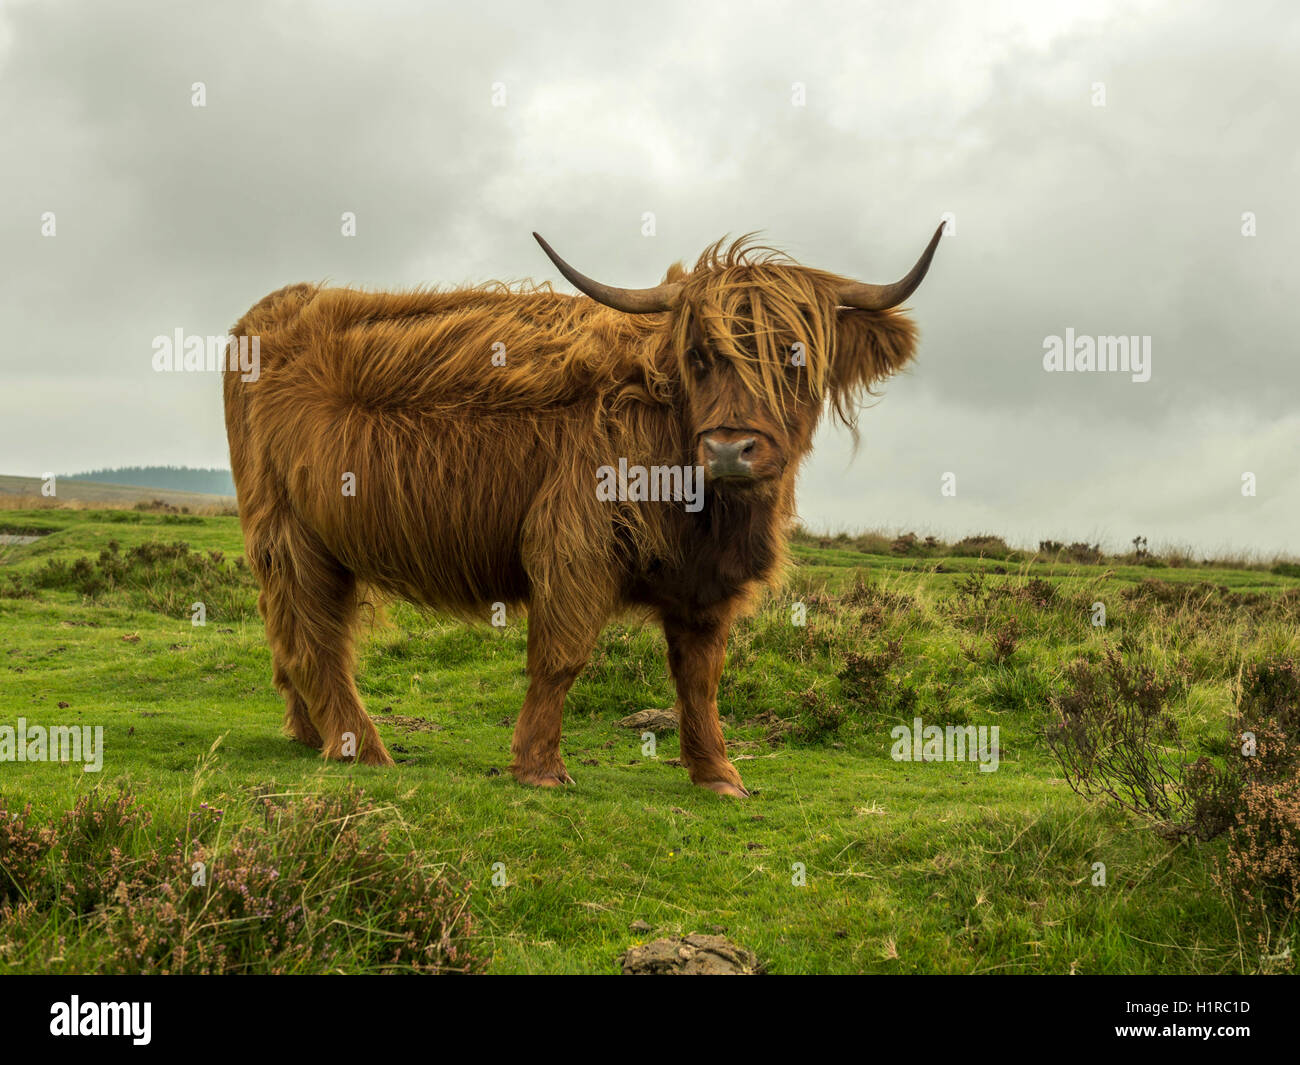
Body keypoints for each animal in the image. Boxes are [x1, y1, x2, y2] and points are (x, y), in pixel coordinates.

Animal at [223, 225, 943, 796]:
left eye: (796, 358)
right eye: (698, 356)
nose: (730, 449)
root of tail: (271, 308)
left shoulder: (707, 581)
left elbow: (701, 677)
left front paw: (719, 775)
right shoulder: (574, 543)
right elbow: (561, 657)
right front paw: (539, 767)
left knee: (299, 633)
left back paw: (307, 732)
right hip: (287, 532)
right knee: (313, 636)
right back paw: (362, 750)